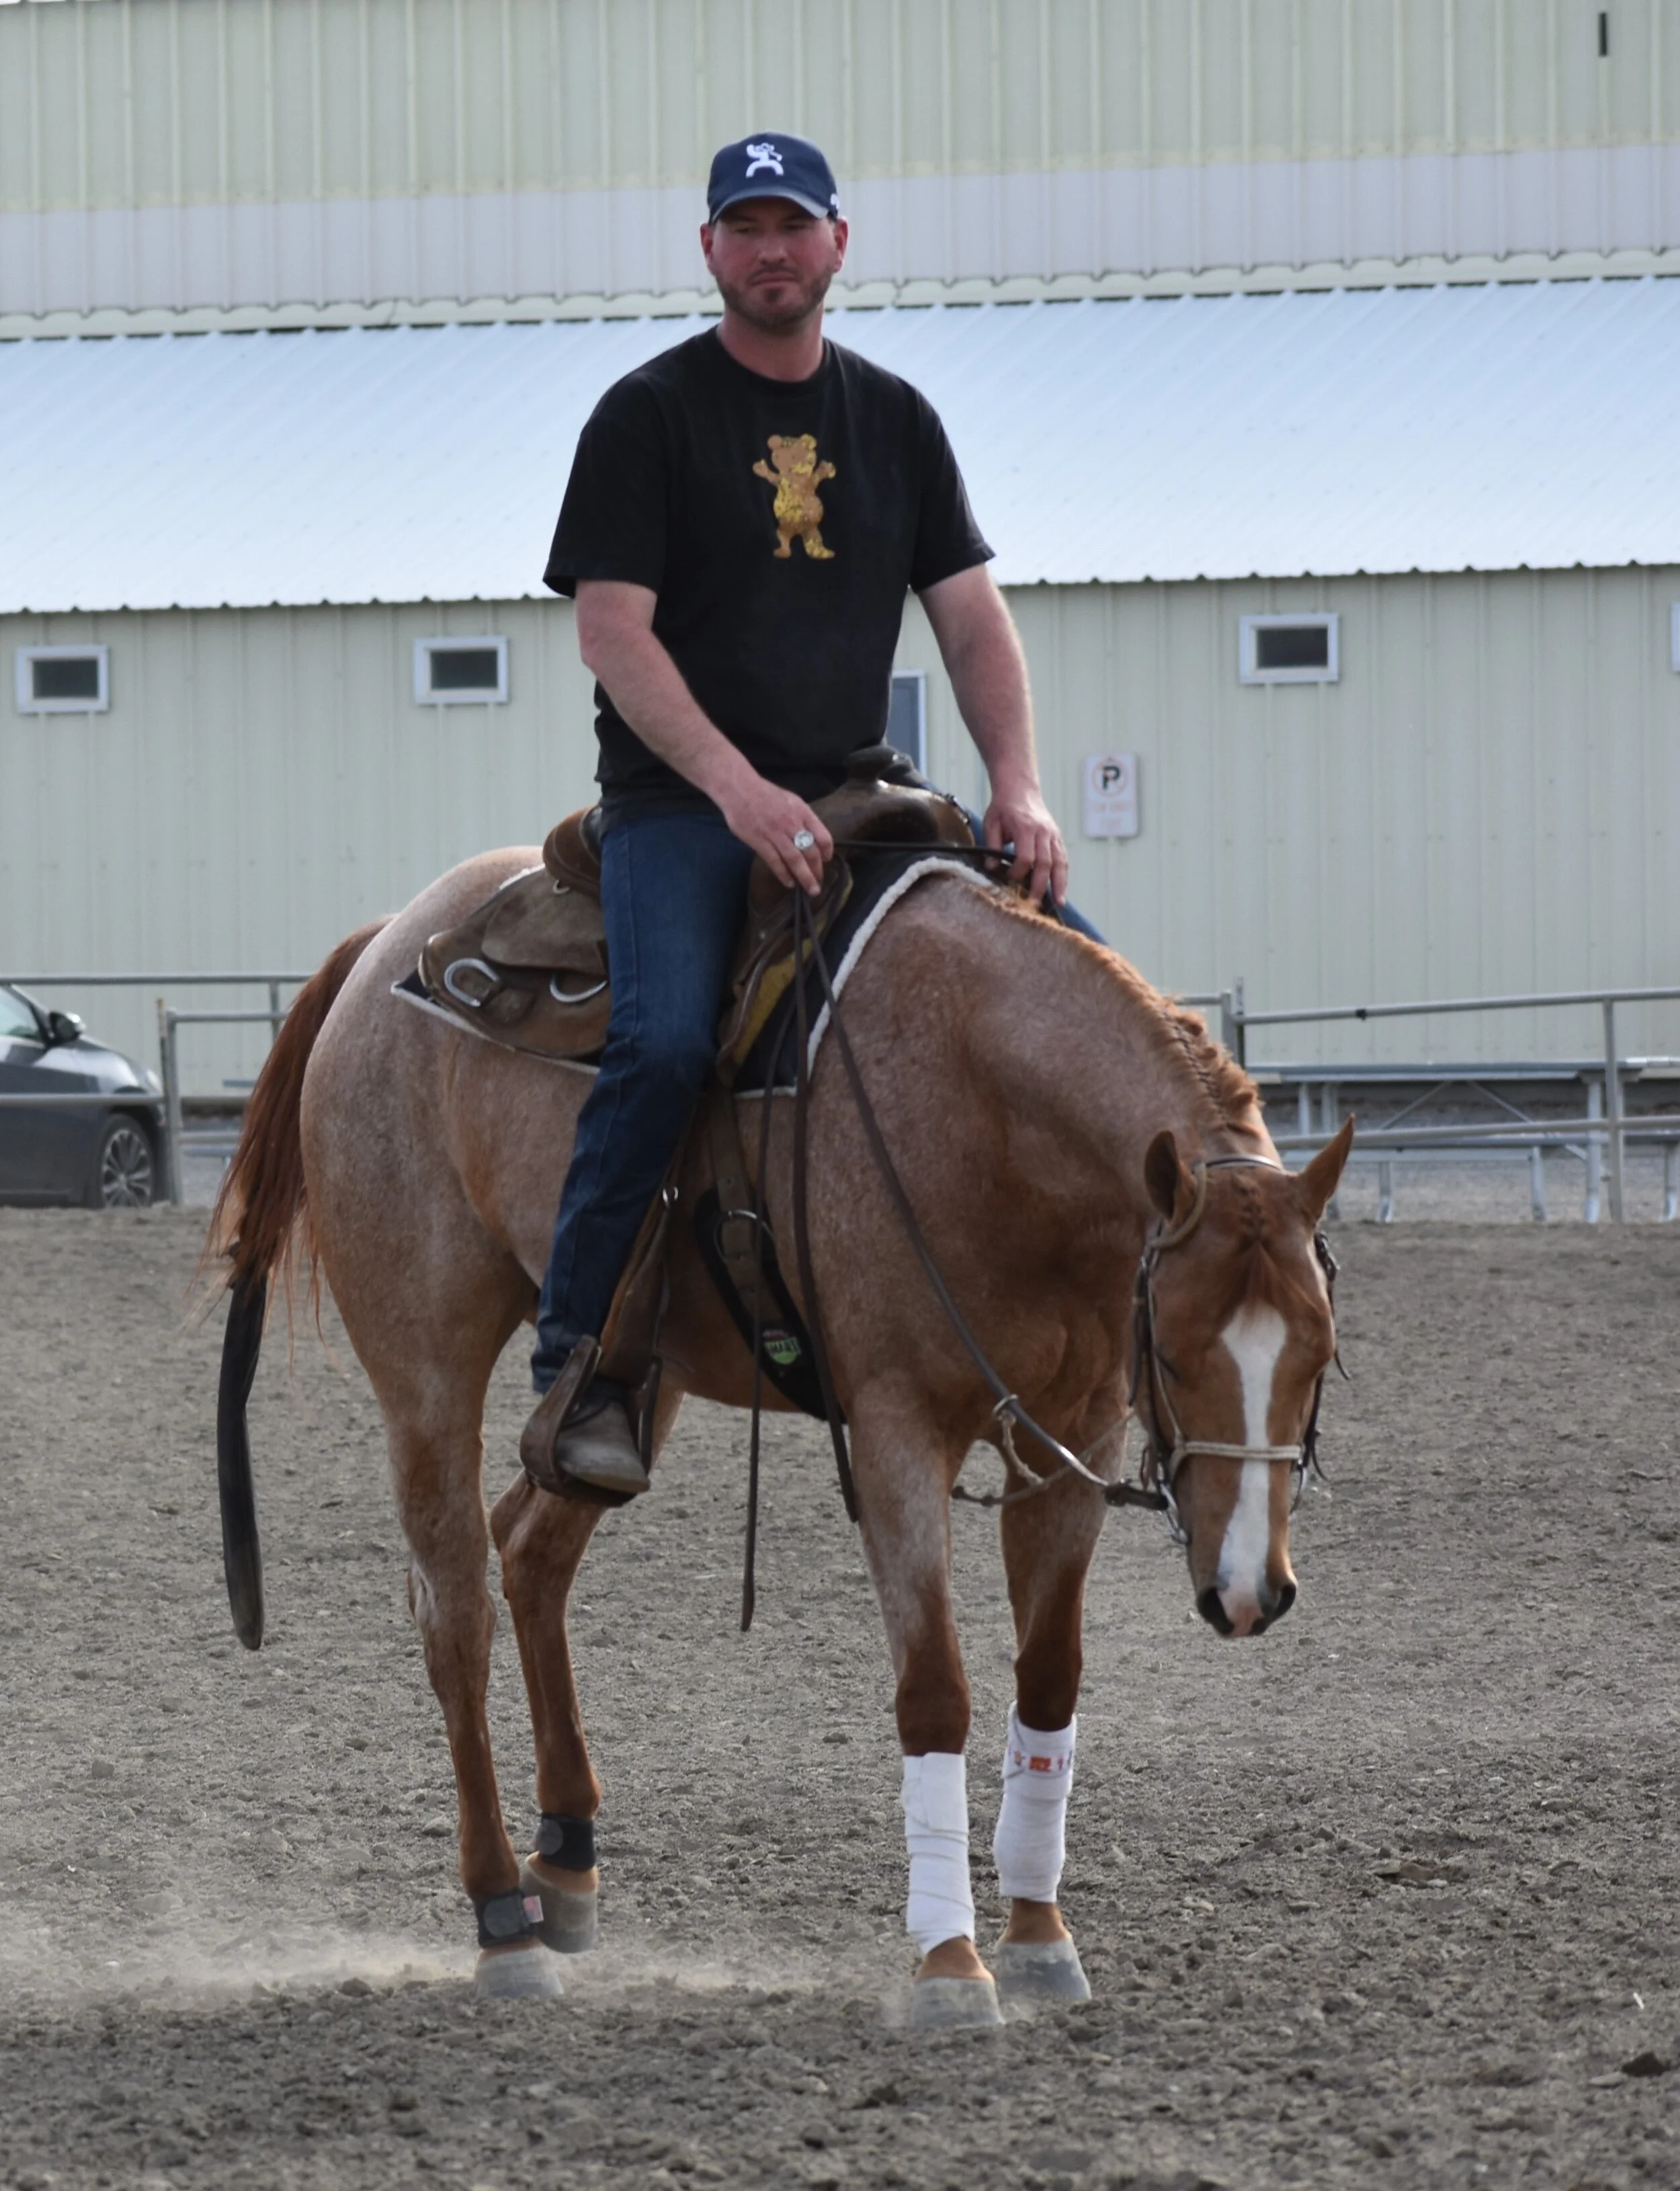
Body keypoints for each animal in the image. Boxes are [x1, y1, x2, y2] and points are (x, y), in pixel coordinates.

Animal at [210, 846, 1352, 2025]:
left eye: (1319, 1354)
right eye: (1178, 1354)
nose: (1250, 1593)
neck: (986, 1108)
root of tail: (388, 943)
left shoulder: (1071, 1441)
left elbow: (1048, 1679)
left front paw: (1040, 1937)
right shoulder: (897, 1432)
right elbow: (935, 1690)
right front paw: (951, 1963)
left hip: (625, 1388)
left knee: (529, 1550)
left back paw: (565, 1864)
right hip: (424, 1372)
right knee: (454, 1613)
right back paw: (502, 1924)